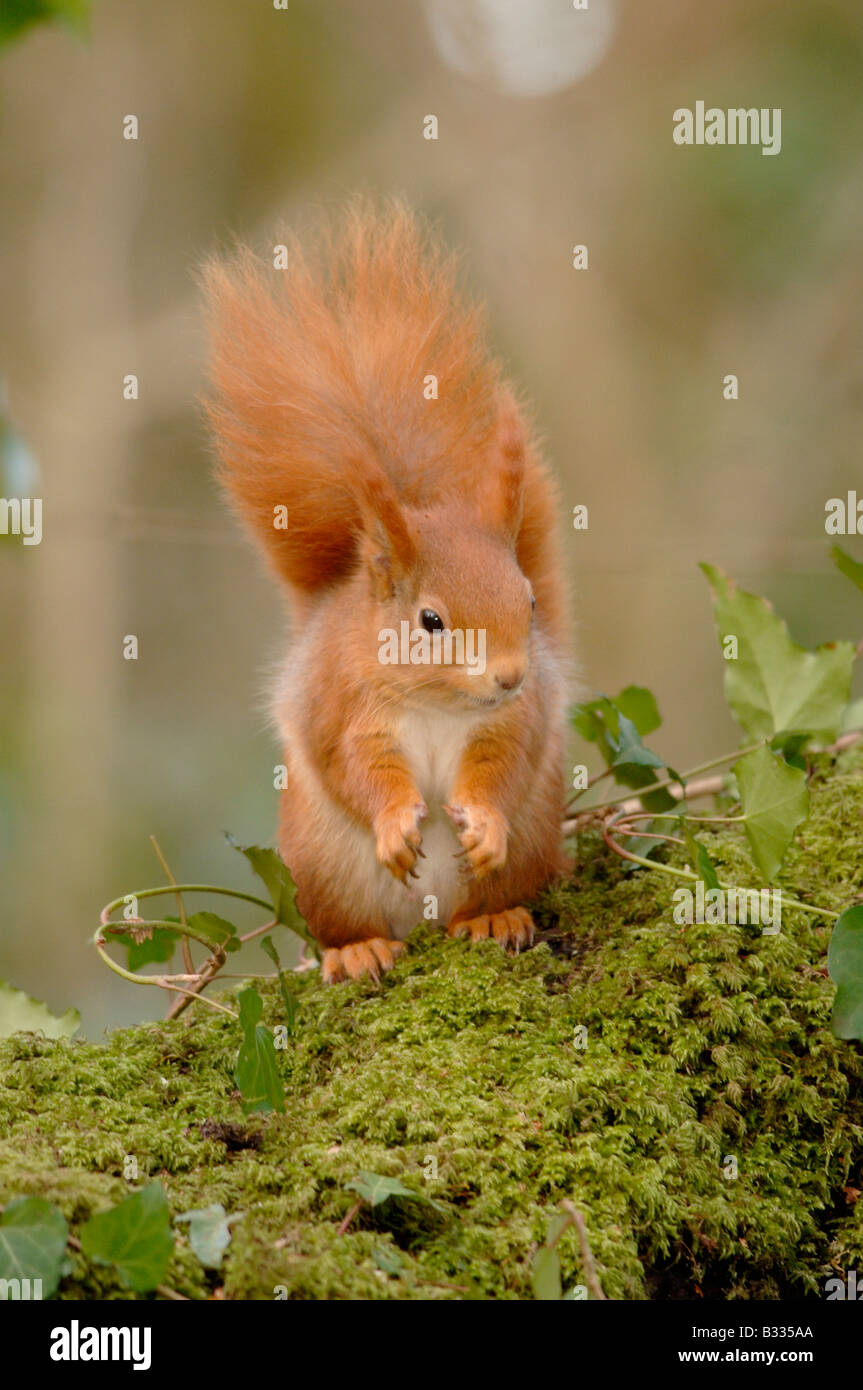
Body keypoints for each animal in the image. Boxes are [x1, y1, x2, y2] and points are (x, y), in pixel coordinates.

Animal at [203, 198, 570, 983]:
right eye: (430, 620)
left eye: (528, 603)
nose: (510, 676)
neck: (437, 702)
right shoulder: (343, 704)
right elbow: (358, 768)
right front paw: (397, 822)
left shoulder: (512, 722)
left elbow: (504, 764)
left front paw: (484, 823)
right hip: (321, 865)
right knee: (343, 925)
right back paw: (358, 950)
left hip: (533, 840)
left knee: (492, 892)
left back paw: (491, 918)